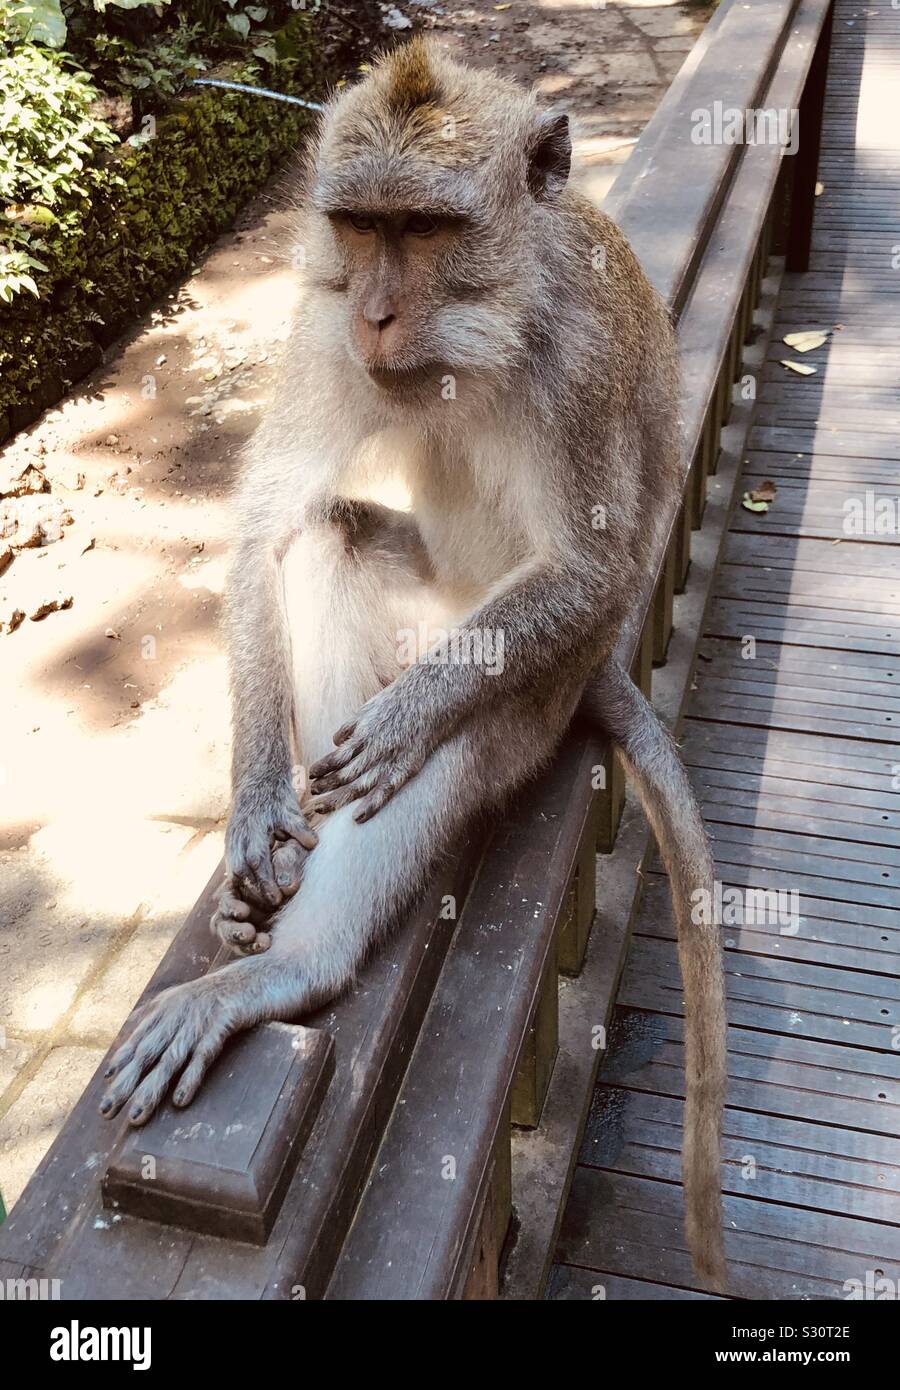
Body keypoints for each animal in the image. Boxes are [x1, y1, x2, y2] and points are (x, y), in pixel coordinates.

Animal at [98, 38, 727, 1288]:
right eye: (363, 226)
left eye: (429, 229)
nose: (381, 313)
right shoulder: (321, 324)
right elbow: (269, 526)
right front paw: (258, 813)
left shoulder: (580, 362)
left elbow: (589, 566)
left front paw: (398, 730)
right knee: (329, 538)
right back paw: (272, 885)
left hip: (541, 685)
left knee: (459, 736)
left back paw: (298, 963)